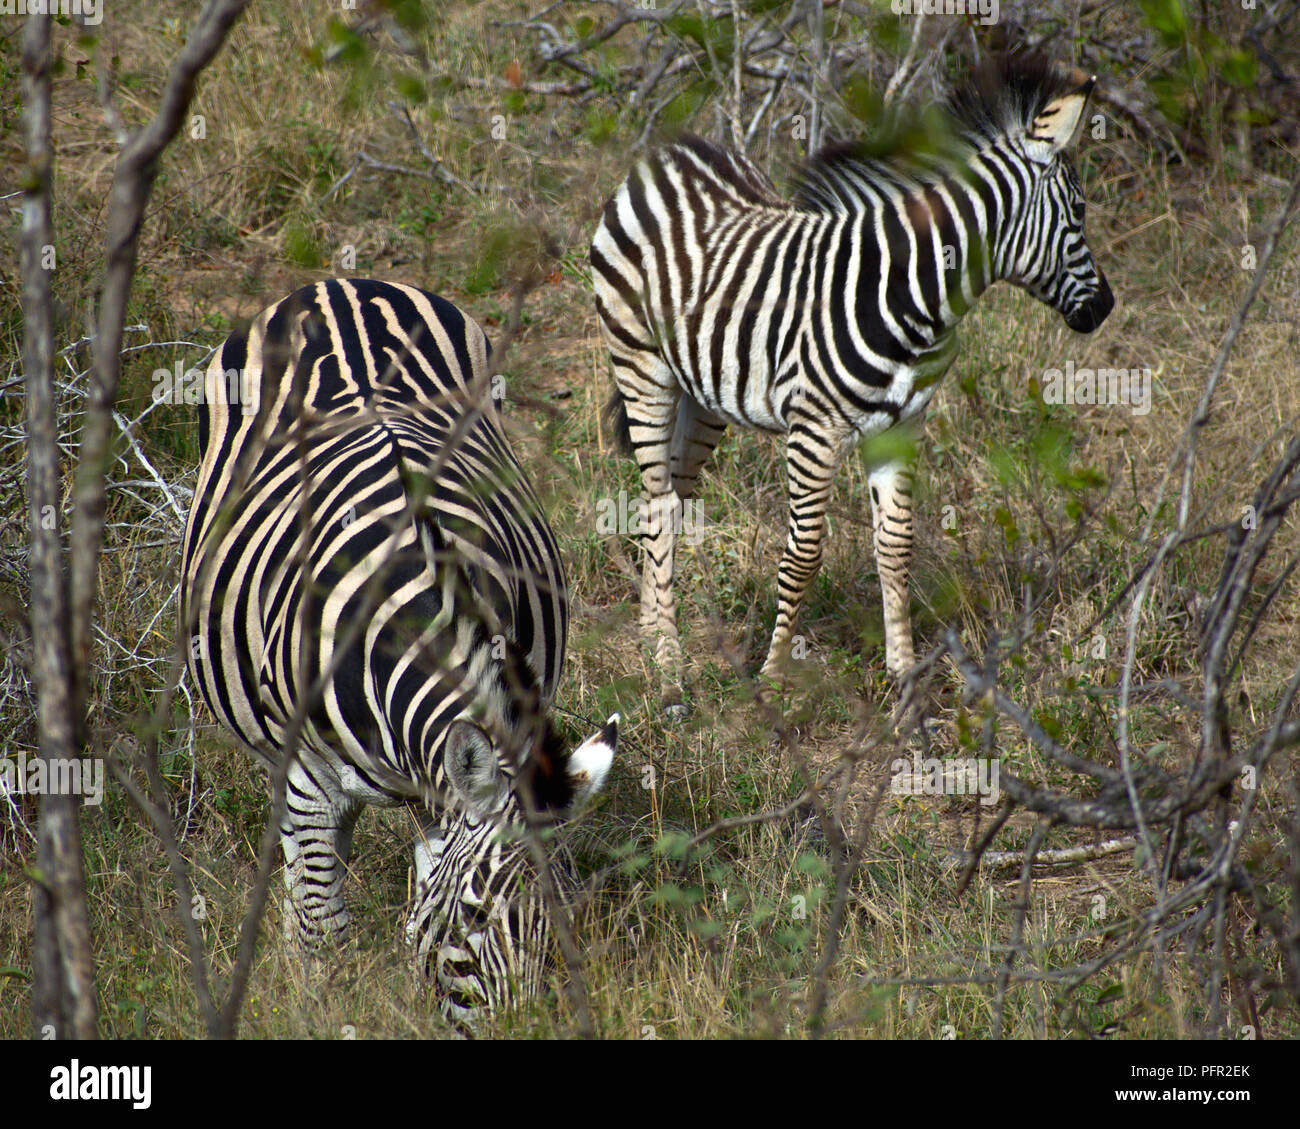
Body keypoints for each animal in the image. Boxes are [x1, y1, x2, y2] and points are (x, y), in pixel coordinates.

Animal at [180, 278, 618, 1026]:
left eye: (563, 914)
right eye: (474, 914)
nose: (525, 1028)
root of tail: (335, 283)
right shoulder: (310, 778)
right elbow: (323, 935)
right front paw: (320, 1013)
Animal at [590, 55, 1113, 709]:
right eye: (1080, 212)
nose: (1107, 308)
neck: (914, 298)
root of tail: (668, 154)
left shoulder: (902, 425)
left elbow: (895, 547)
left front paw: (904, 678)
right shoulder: (814, 429)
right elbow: (803, 553)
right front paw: (772, 680)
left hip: (703, 394)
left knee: (668, 500)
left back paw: (651, 633)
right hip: (642, 366)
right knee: (659, 501)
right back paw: (667, 668)